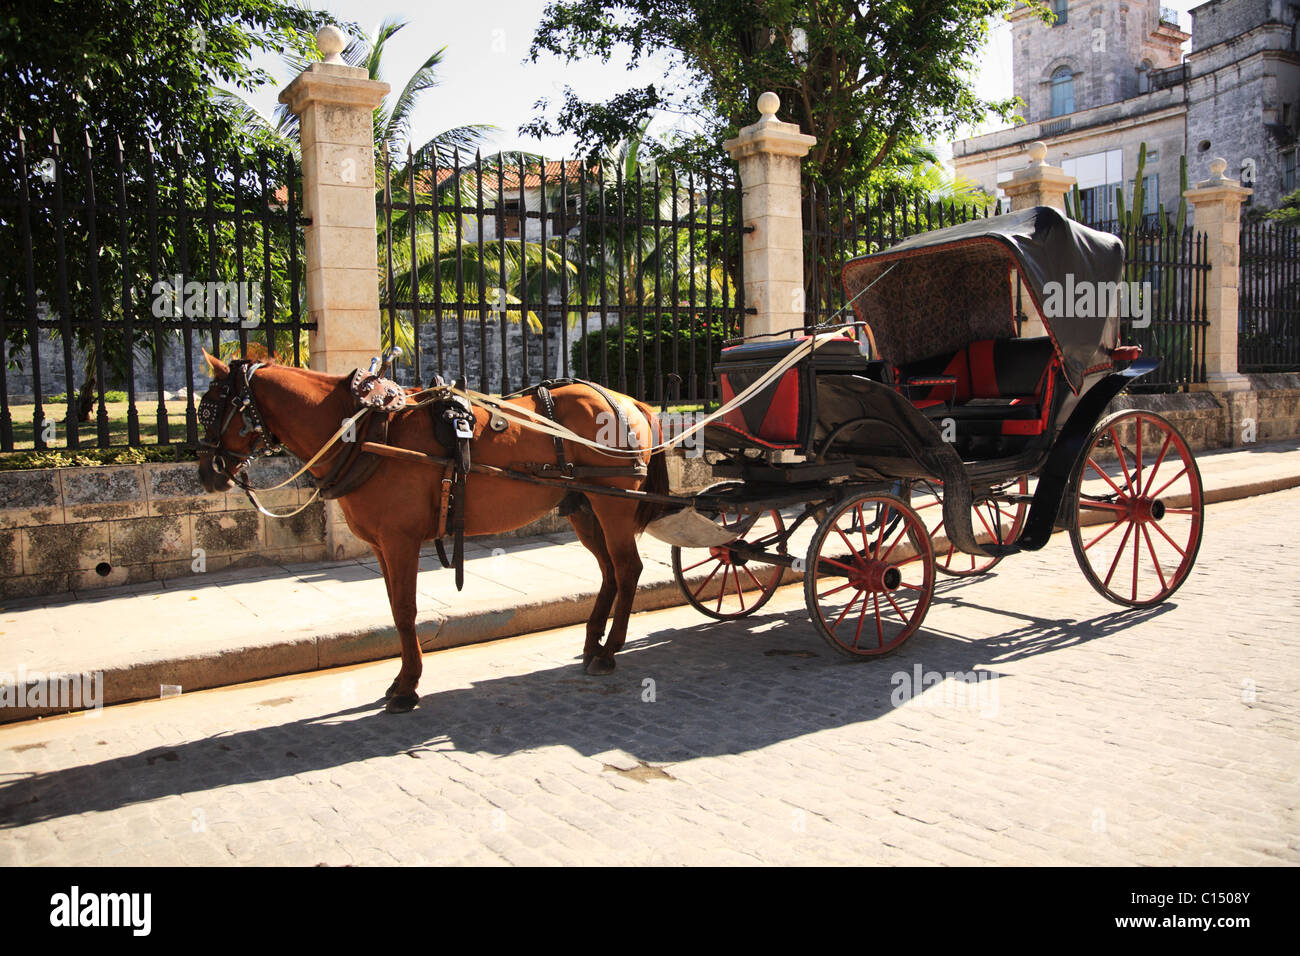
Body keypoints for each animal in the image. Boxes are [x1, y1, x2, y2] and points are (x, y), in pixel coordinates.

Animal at [195, 352, 670, 713]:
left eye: (213, 409)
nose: (207, 473)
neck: (365, 431)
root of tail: (628, 400)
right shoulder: (383, 547)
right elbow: (394, 611)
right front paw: (402, 679)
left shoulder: (400, 541)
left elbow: (406, 612)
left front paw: (407, 687)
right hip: (584, 506)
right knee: (609, 570)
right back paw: (593, 642)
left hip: (613, 503)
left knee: (628, 568)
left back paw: (608, 651)